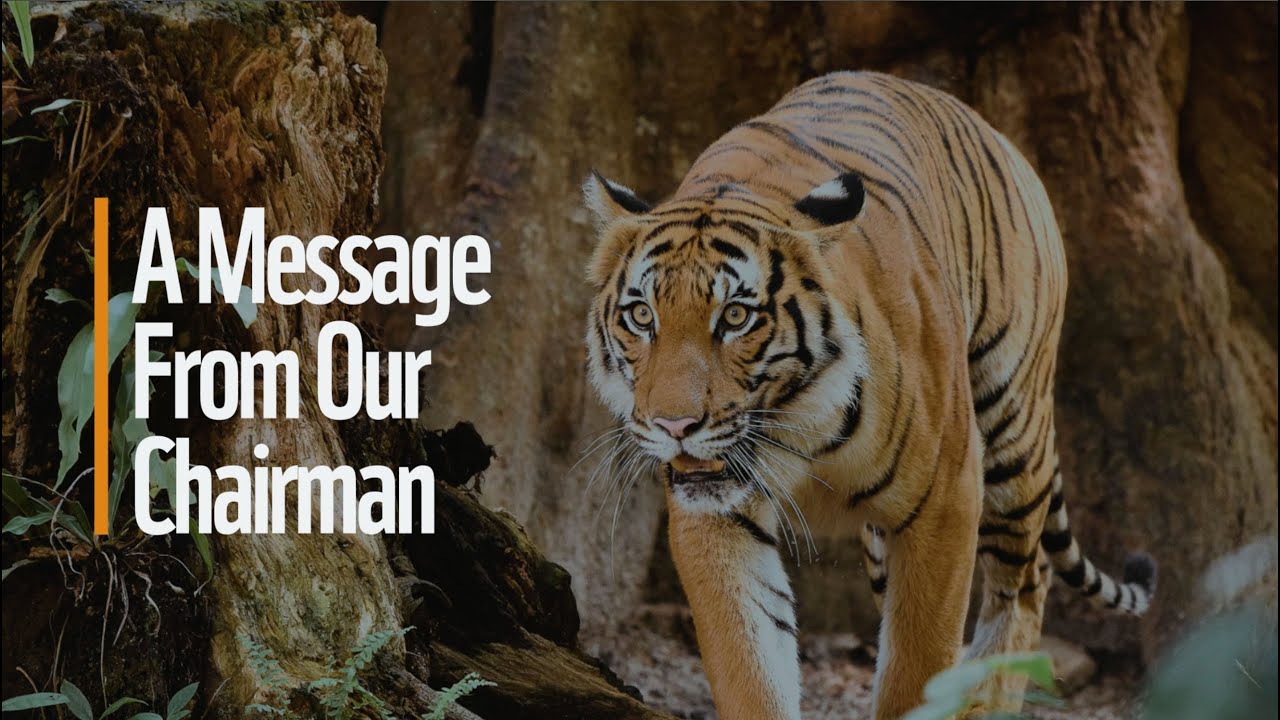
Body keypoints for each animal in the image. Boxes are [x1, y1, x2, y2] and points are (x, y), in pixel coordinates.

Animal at [582, 71, 1155, 719]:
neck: (793, 429)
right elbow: (749, 661)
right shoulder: (717, 517)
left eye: (734, 317)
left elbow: (917, 665)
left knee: (1026, 585)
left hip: (1012, 428)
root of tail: (998, 137)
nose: (674, 426)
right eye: (641, 316)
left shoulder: (947, 499)